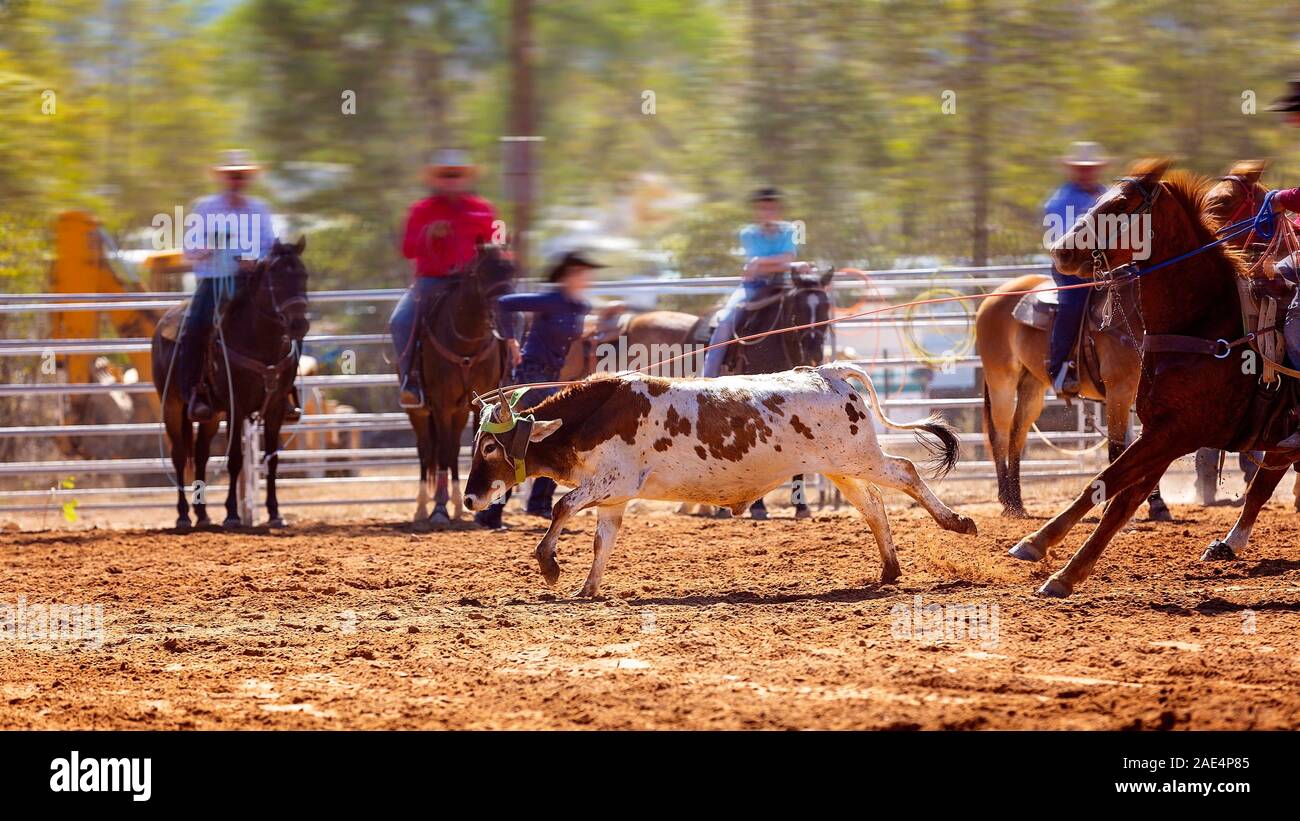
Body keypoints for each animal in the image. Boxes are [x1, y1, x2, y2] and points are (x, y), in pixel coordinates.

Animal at [464, 363, 978, 597]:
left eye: (488, 447)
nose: (469, 499)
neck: (594, 414)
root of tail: (827, 372)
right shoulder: (614, 498)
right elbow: (601, 541)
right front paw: (587, 589)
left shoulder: (611, 484)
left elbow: (562, 506)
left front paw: (549, 564)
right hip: (842, 467)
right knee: (873, 505)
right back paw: (889, 569)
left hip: (860, 457)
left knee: (905, 470)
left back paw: (957, 523)